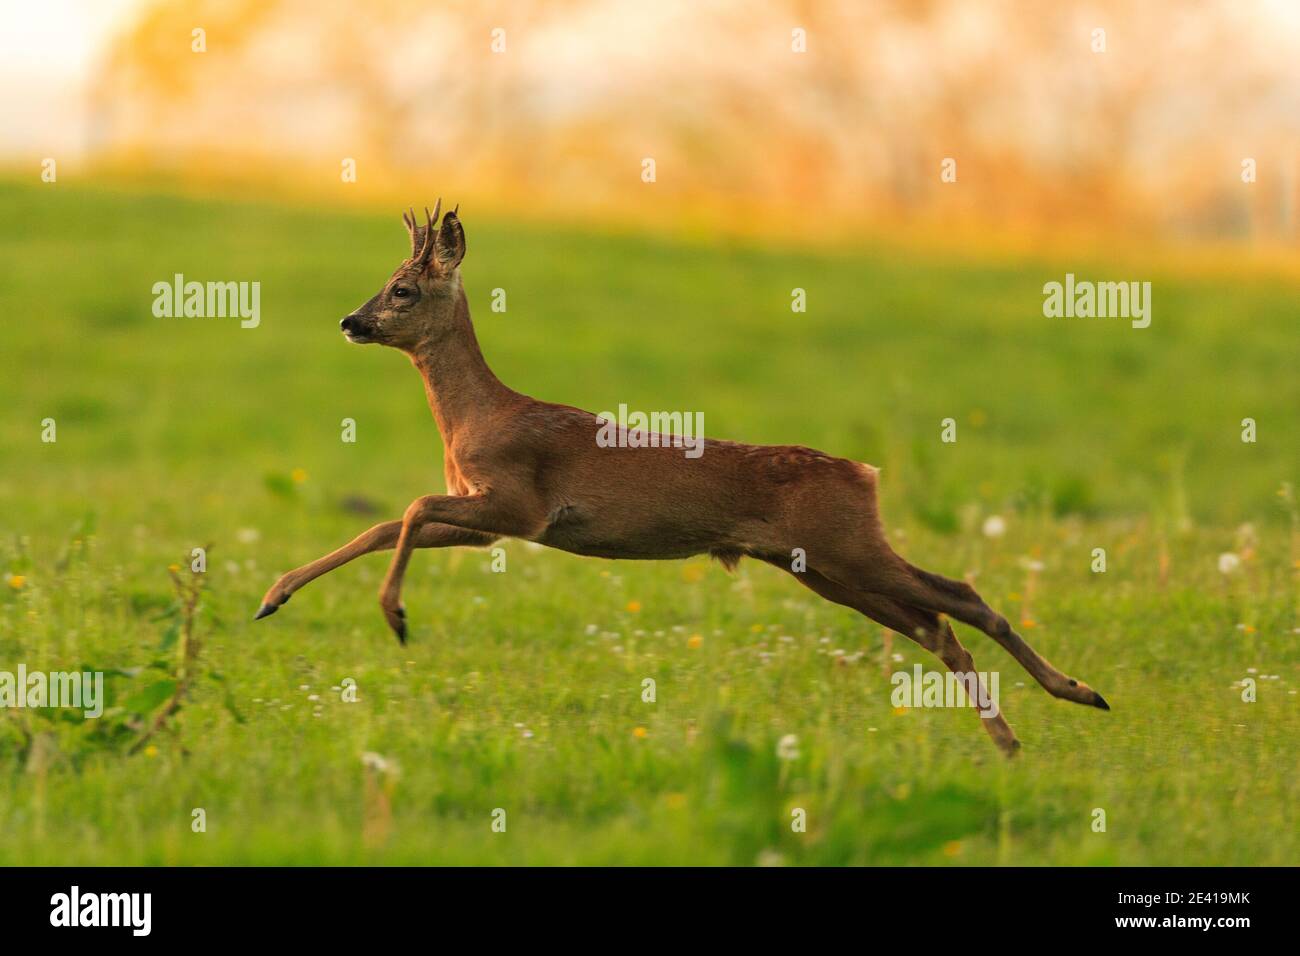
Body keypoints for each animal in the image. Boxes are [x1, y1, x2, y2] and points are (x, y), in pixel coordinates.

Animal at [254, 202, 1109, 755]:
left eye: (403, 289)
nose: (350, 321)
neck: (476, 417)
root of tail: (864, 472)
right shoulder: (487, 521)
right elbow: (382, 521)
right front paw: (273, 596)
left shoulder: (520, 504)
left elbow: (405, 504)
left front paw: (394, 616)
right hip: (822, 567)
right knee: (937, 625)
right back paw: (1016, 737)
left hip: (846, 545)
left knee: (959, 597)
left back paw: (1075, 697)